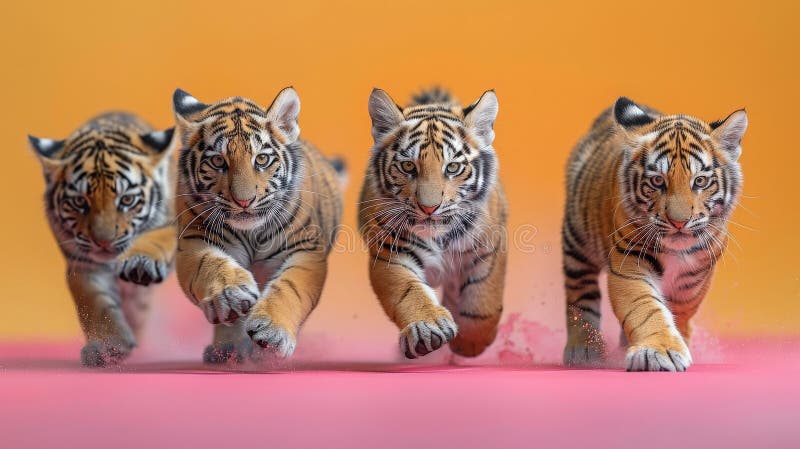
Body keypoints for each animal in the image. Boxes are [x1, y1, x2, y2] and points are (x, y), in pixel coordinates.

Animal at [28, 112, 177, 367]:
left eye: (127, 200)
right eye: (79, 201)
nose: (103, 242)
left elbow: (158, 238)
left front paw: (141, 262)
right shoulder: (83, 264)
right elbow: (96, 303)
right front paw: (109, 346)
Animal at [172, 87, 344, 363]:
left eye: (261, 159)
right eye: (218, 161)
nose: (244, 201)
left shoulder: (303, 248)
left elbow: (291, 286)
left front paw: (272, 334)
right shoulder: (194, 240)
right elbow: (210, 264)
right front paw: (230, 296)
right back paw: (226, 350)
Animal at [359, 87, 508, 359]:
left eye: (453, 167)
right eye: (408, 165)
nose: (429, 208)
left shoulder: (488, 247)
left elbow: (483, 294)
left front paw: (472, 341)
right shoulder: (391, 253)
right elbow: (408, 291)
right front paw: (428, 327)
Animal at [562, 97, 747, 371]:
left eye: (700, 181)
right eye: (658, 181)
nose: (679, 222)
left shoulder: (694, 276)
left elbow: (679, 311)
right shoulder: (630, 262)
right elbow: (645, 307)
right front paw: (659, 351)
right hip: (577, 242)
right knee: (580, 294)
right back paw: (584, 350)